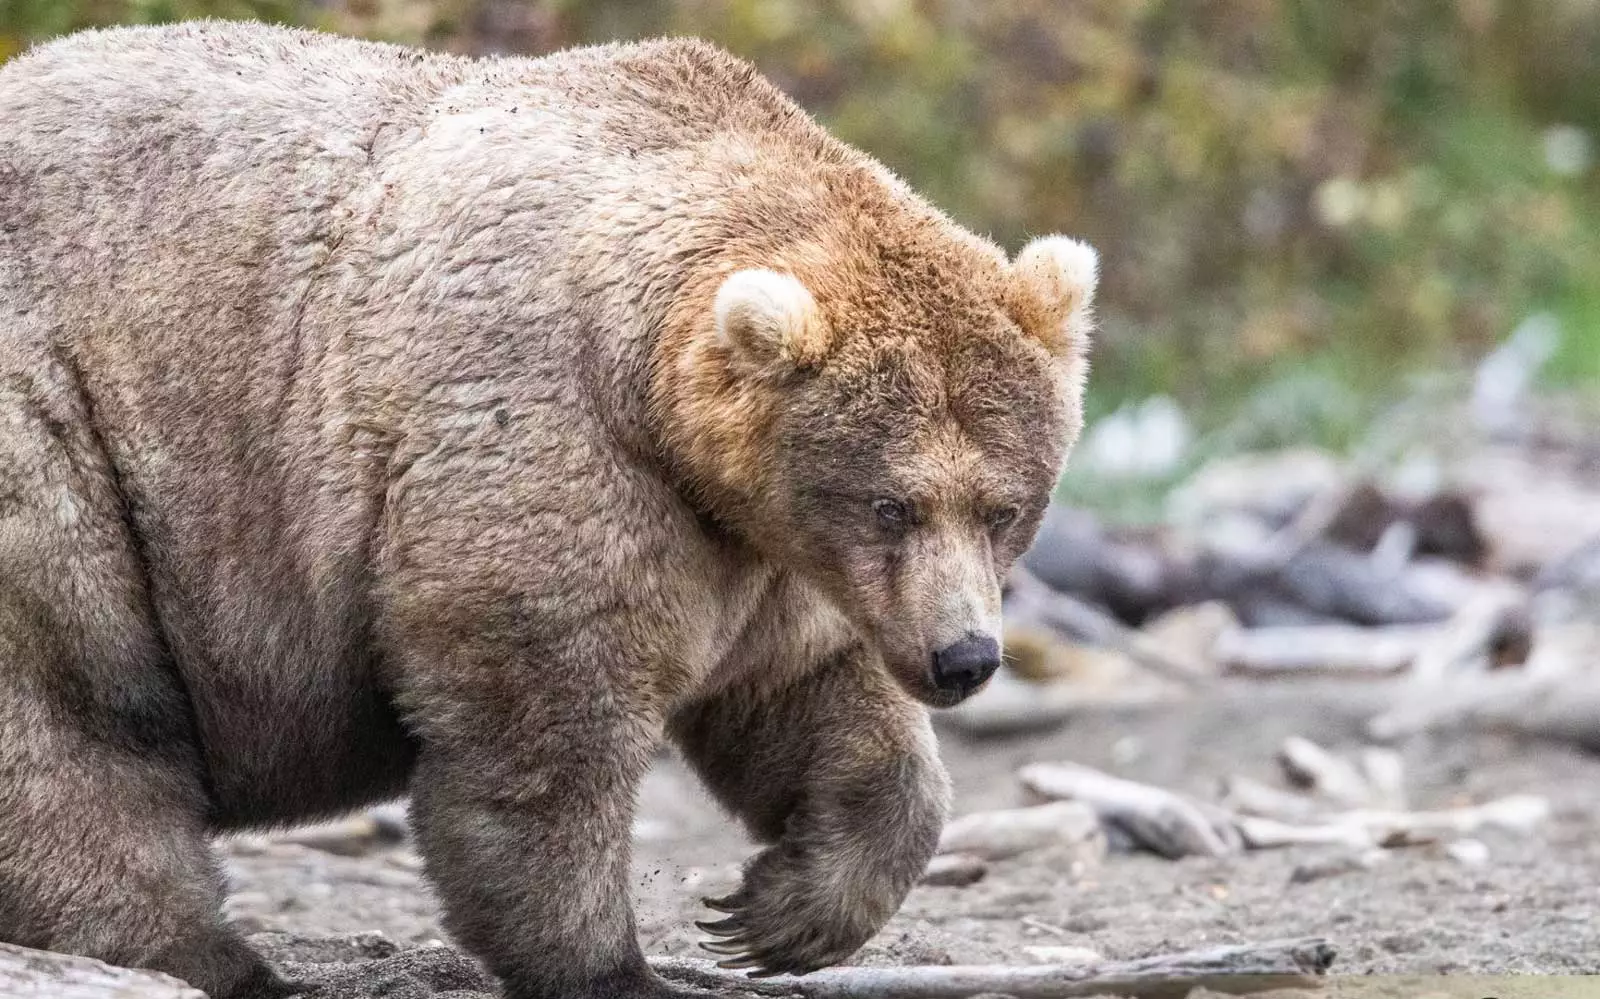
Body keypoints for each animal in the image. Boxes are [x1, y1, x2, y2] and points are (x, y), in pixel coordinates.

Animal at [0, 21, 1094, 999]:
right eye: (889, 503)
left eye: (1003, 506)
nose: (964, 658)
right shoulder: (549, 437)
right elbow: (547, 724)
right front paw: (617, 965)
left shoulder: (763, 546)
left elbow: (808, 693)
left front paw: (777, 911)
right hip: (64, 435)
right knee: (76, 706)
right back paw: (211, 955)